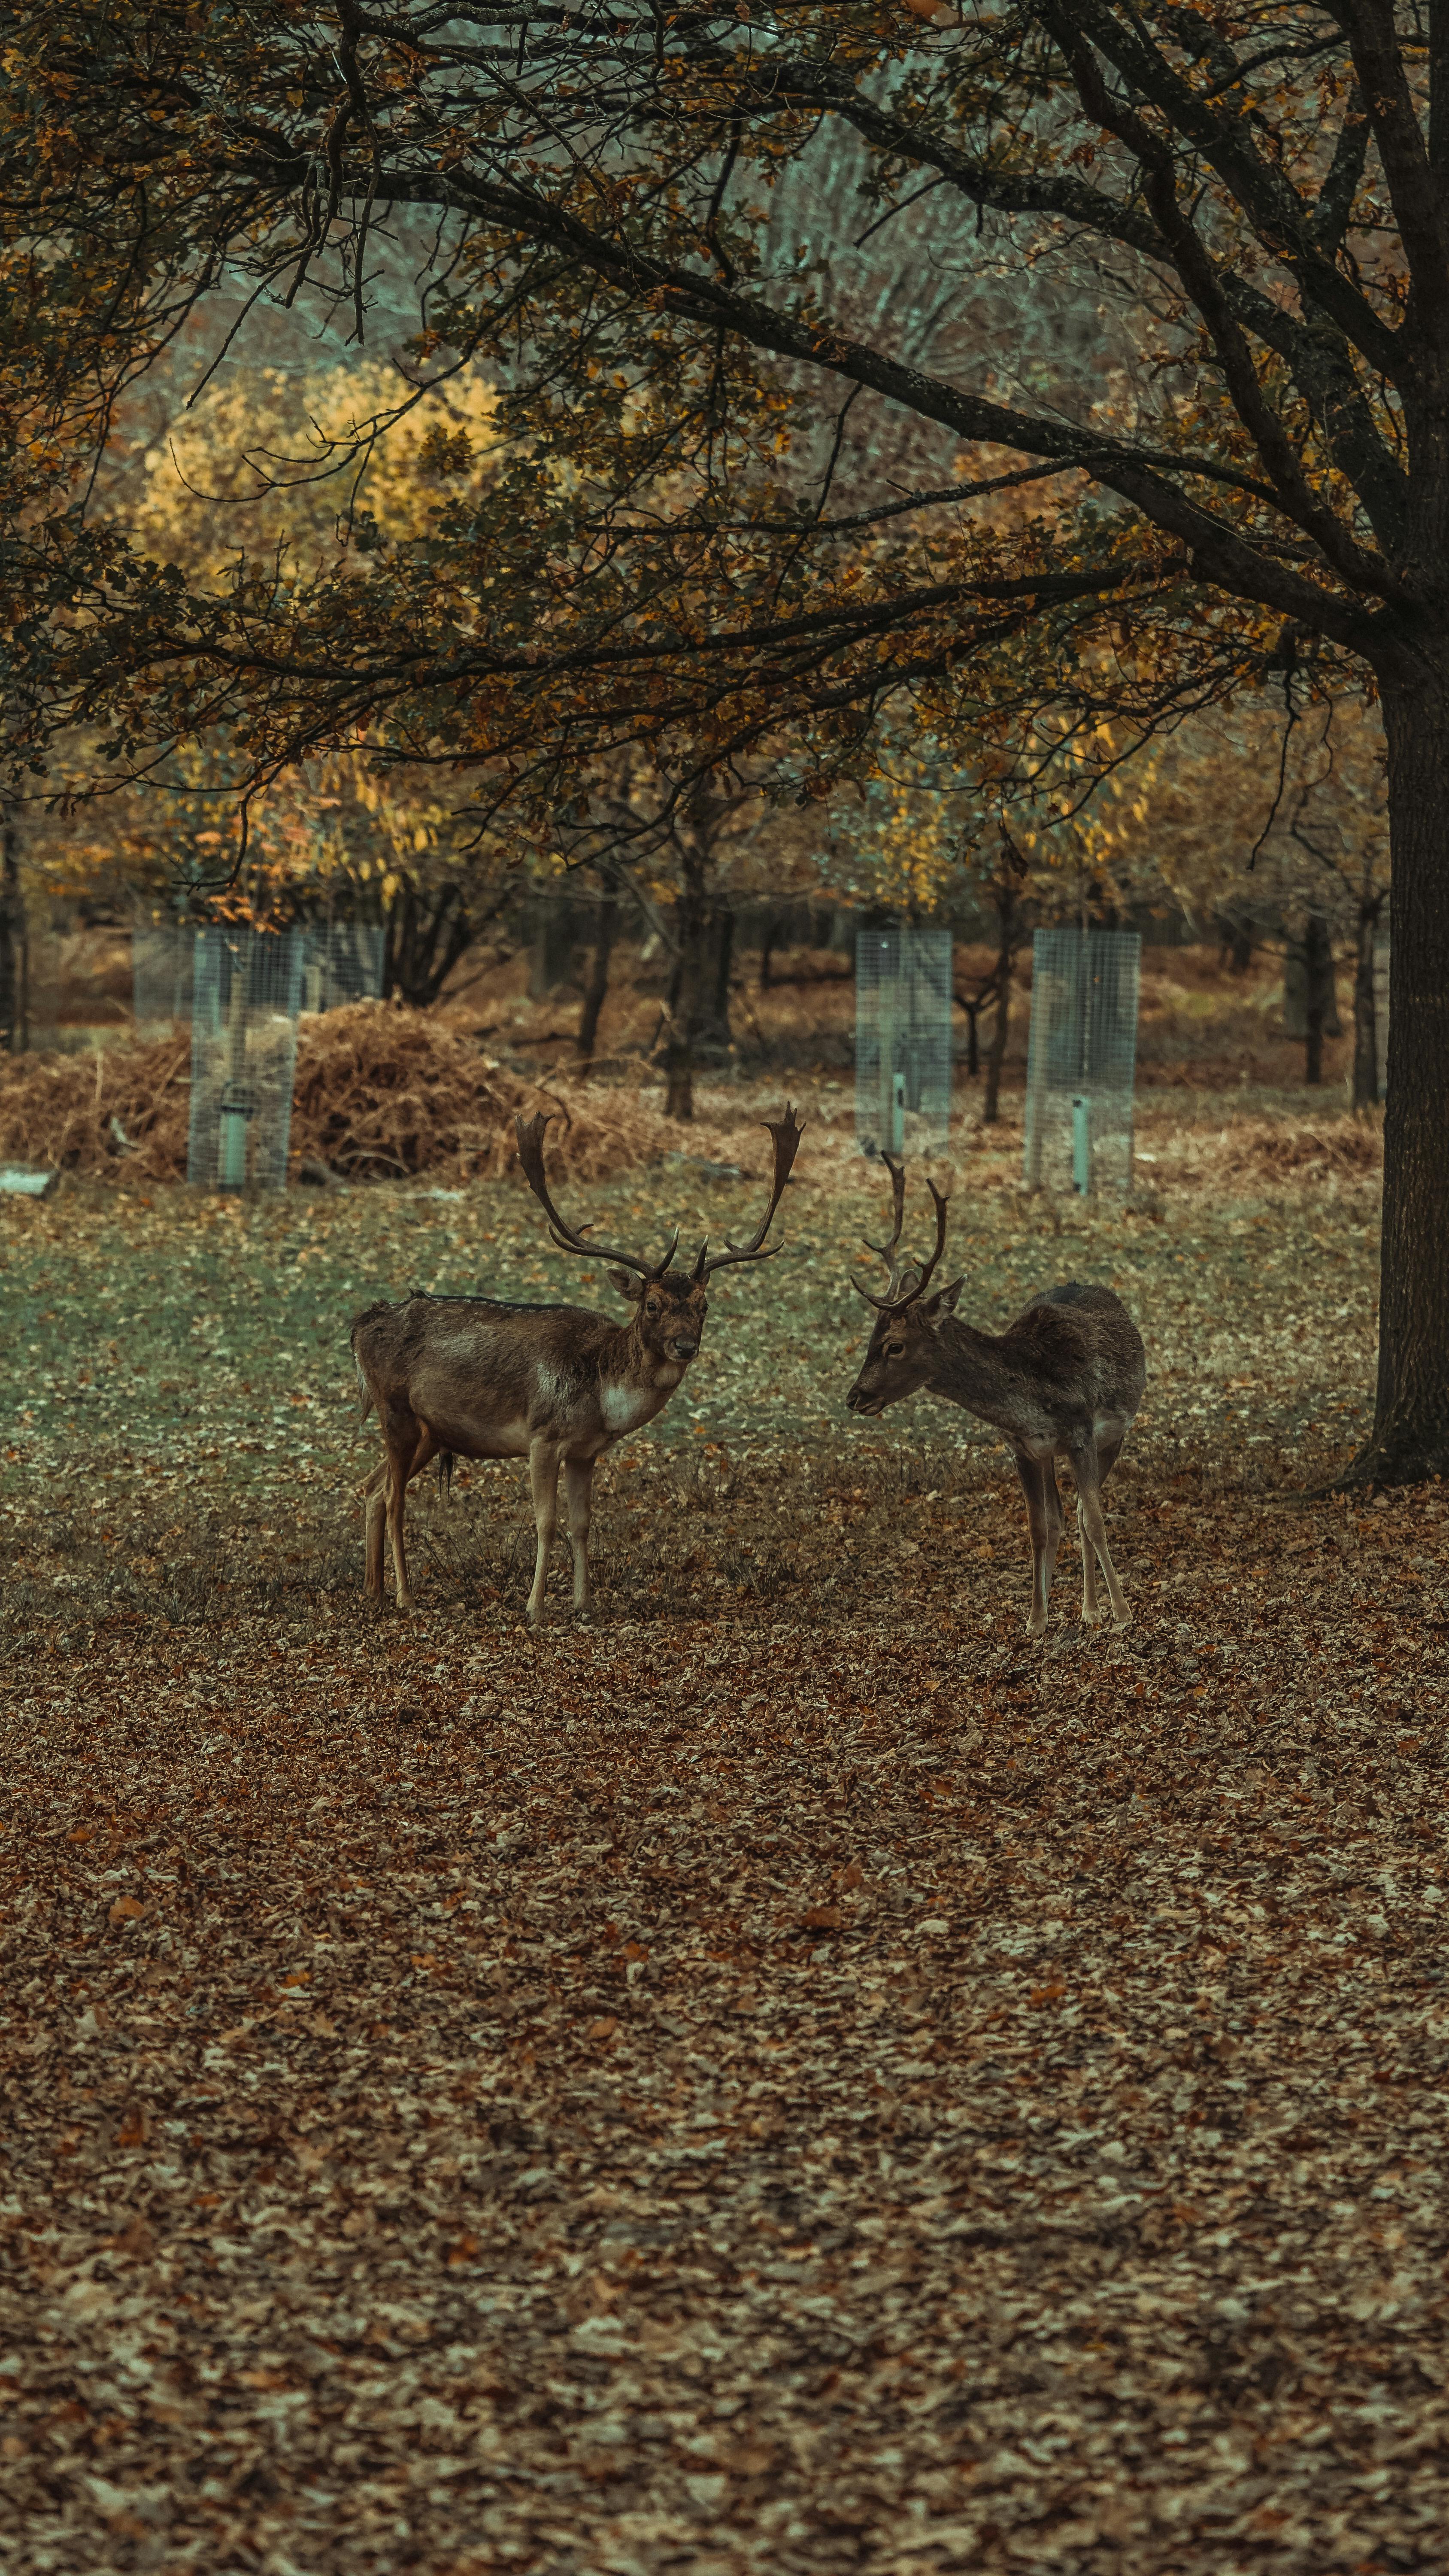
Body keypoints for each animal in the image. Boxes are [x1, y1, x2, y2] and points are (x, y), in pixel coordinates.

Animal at [351, 1102, 805, 1623]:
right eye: (652, 1305)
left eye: (704, 1306)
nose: (685, 1346)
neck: (601, 1399)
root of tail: (359, 1326)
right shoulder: (543, 1437)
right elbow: (546, 1522)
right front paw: (535, 1609)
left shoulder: (586, 1451)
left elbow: (583, 1523)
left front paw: (584, 1603)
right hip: (396, 1411)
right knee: (394, 1498)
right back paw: (405, 1596)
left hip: (431, 1430)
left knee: (372, 1487)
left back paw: (373, 1590)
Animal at [844, 1157, 1146, 1637]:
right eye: (870, 1339)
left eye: (894, 1346)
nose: (856, 1397)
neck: (1034, 1401)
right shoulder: (1022, 1449)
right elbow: (1039, 1529)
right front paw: (1035, 1620)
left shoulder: (1082, 1435)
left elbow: (1095, 1522)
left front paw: (1119, 1614)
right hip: (1053, 1455)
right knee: (1062, 1518)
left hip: (1116, 1434)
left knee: (1084, 1513)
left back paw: (1092, 1609)